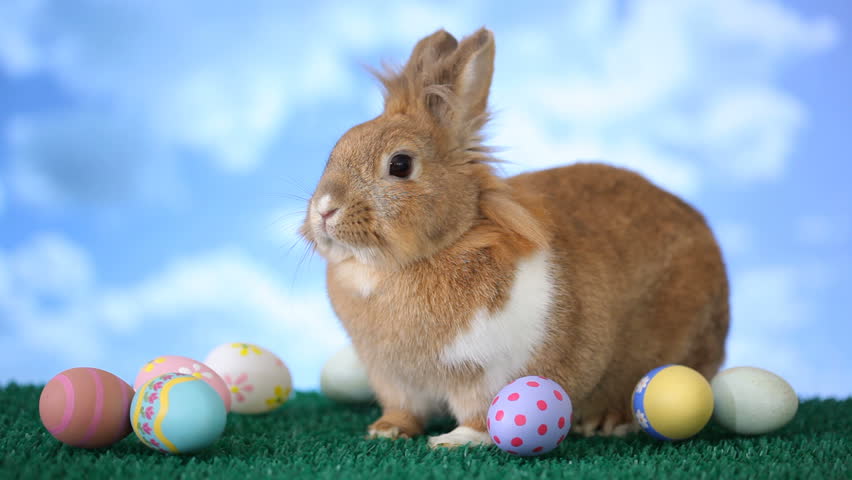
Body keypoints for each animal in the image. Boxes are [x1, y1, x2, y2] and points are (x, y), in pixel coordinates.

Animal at [300, 27, 729, 448]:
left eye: (401, 165)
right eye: (334, 151)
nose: (325, 209)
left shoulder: (488, 373)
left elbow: (480, 415)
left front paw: (454, 440)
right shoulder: (395, 379)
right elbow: (404, 409)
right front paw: (386, 430)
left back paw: (608, 421)